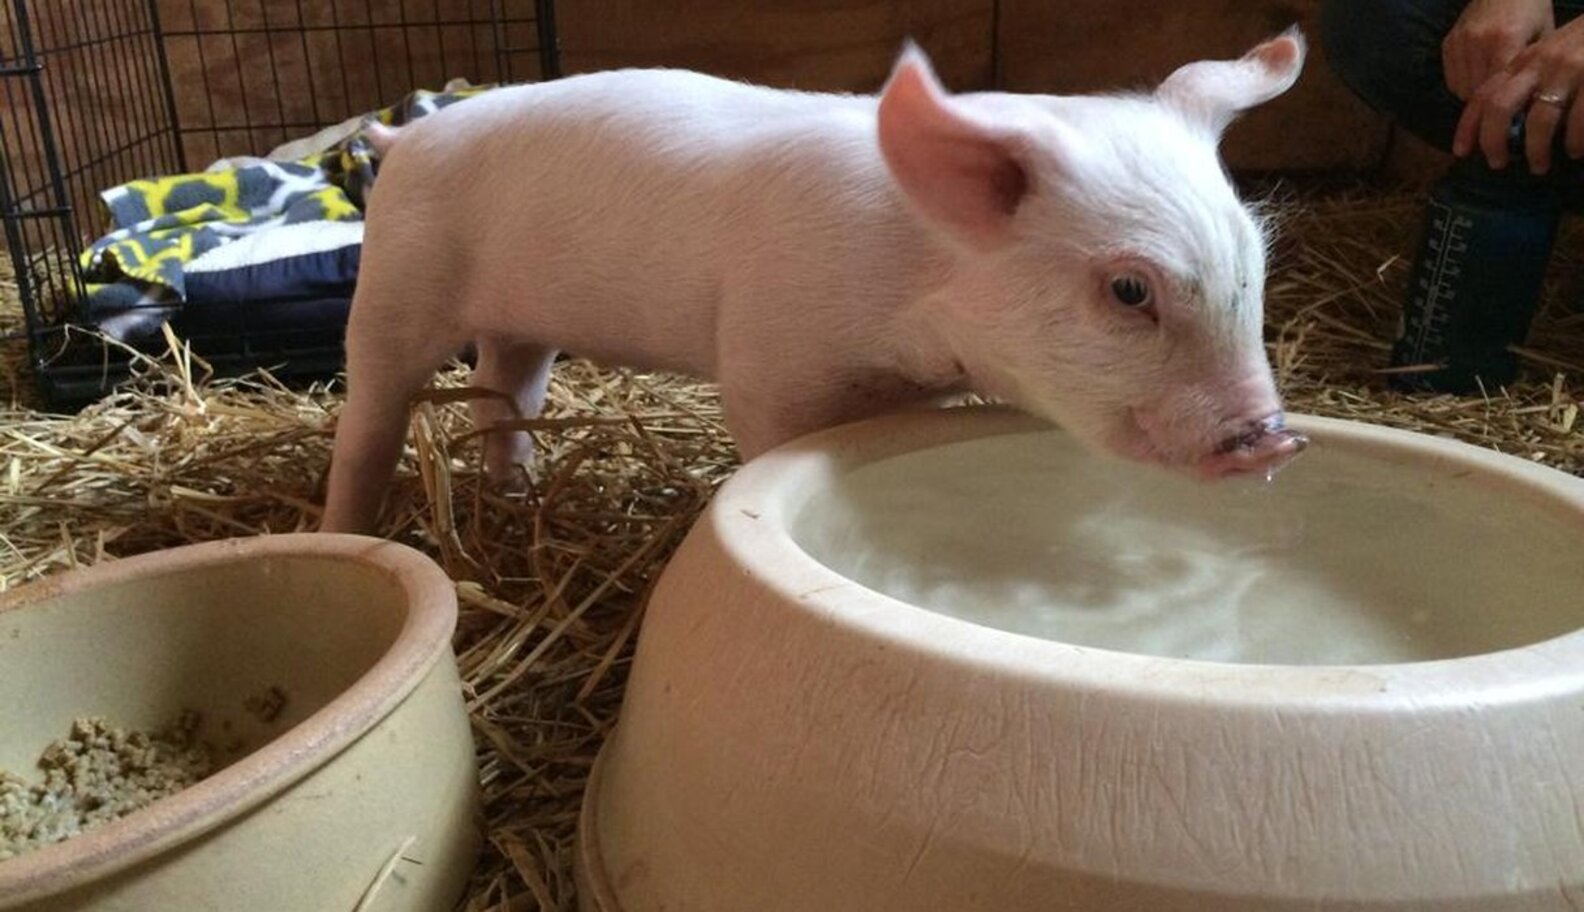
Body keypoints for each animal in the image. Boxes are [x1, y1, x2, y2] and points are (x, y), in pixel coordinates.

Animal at [320, 31, 1310, 535]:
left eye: (1257, 265)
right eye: (1129, 291)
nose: (1270, 439)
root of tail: (408, 136)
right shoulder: (768, 361)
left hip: (522, 322)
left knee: (506, 392)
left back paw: (515, 498)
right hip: (396, 283)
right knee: (369, 421)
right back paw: (344, 532)